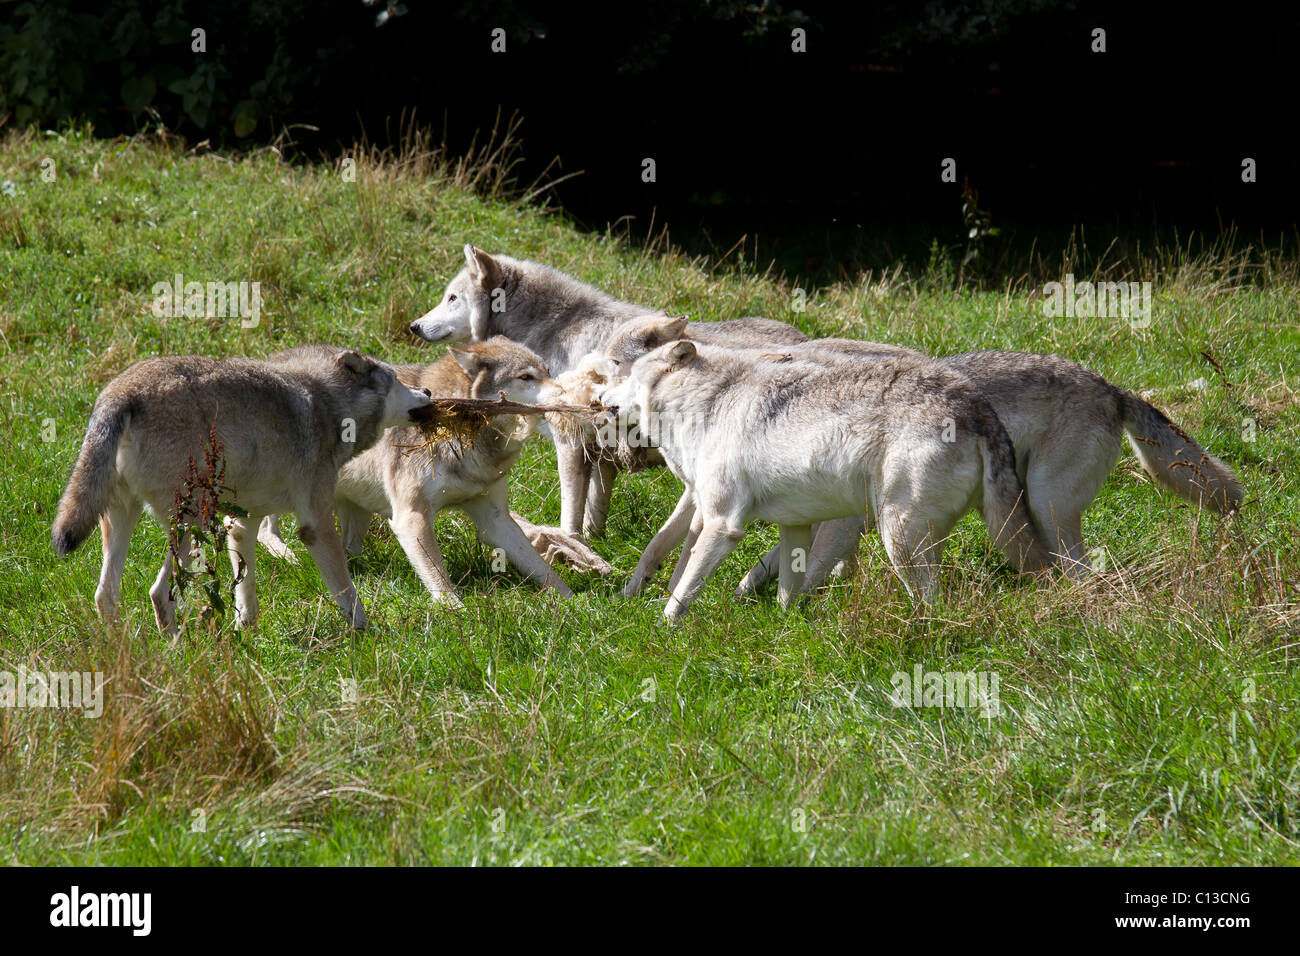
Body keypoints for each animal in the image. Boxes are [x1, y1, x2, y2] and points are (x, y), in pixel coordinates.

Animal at [51, 346, 433, 633]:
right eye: (396, 380)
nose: (428, 393)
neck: (330, 407)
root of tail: (119, 393)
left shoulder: (240, 523)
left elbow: (245, 593)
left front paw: (247, 632)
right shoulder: (317, 524)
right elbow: (346, 590)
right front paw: (366, 633)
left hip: (126, 520)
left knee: (105, 594)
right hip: (192, 525)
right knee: (158, 593)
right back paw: (178, 653)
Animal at [257, 337, 577, 608]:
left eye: (548, 372)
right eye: (526, 377)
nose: (567, 395)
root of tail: (273, 357)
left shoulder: (495, 518)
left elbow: (544, 570)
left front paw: (574, 603)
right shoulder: (411, 517)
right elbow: (439, 577)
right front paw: (456, 612)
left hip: (356, 511)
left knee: (349, 550)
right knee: (261, 530)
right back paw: (287, 557)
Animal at [410, 244, 807, 534]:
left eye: (451, 298)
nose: (414, 326)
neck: (555, 332)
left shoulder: (569, 444)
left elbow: (569, 514)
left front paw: (572, 548)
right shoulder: (601, 452)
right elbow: (594, 512)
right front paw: (595, 545)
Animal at [599, 340, 1054, 620]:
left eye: (626, 376)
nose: (599, 398)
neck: (708, 403)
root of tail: (977, 407)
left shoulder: (723, 525)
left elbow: (682, 591)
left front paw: (662, 627)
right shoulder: (794, 527)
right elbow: (786, 597)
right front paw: (785, 630)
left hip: (898, 537)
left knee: (931, 604)